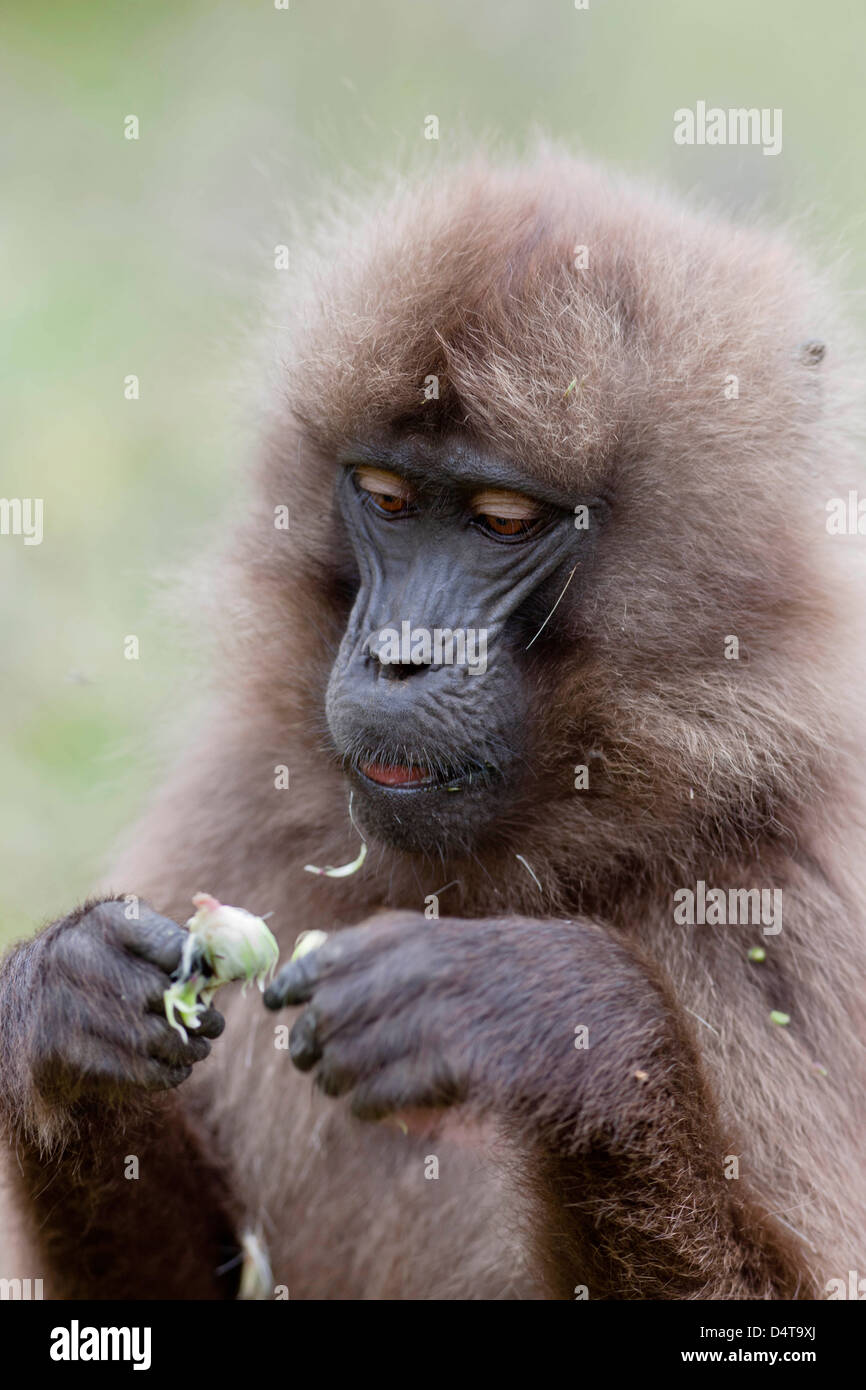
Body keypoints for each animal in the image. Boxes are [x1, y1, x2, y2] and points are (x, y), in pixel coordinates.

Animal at [1, 152, 865, 1300]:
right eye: (385, 497)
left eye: (503, 521)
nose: (399, 656)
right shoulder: (246, 803)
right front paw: (69, 1005)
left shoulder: (796, 899)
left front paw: (545, 1021)